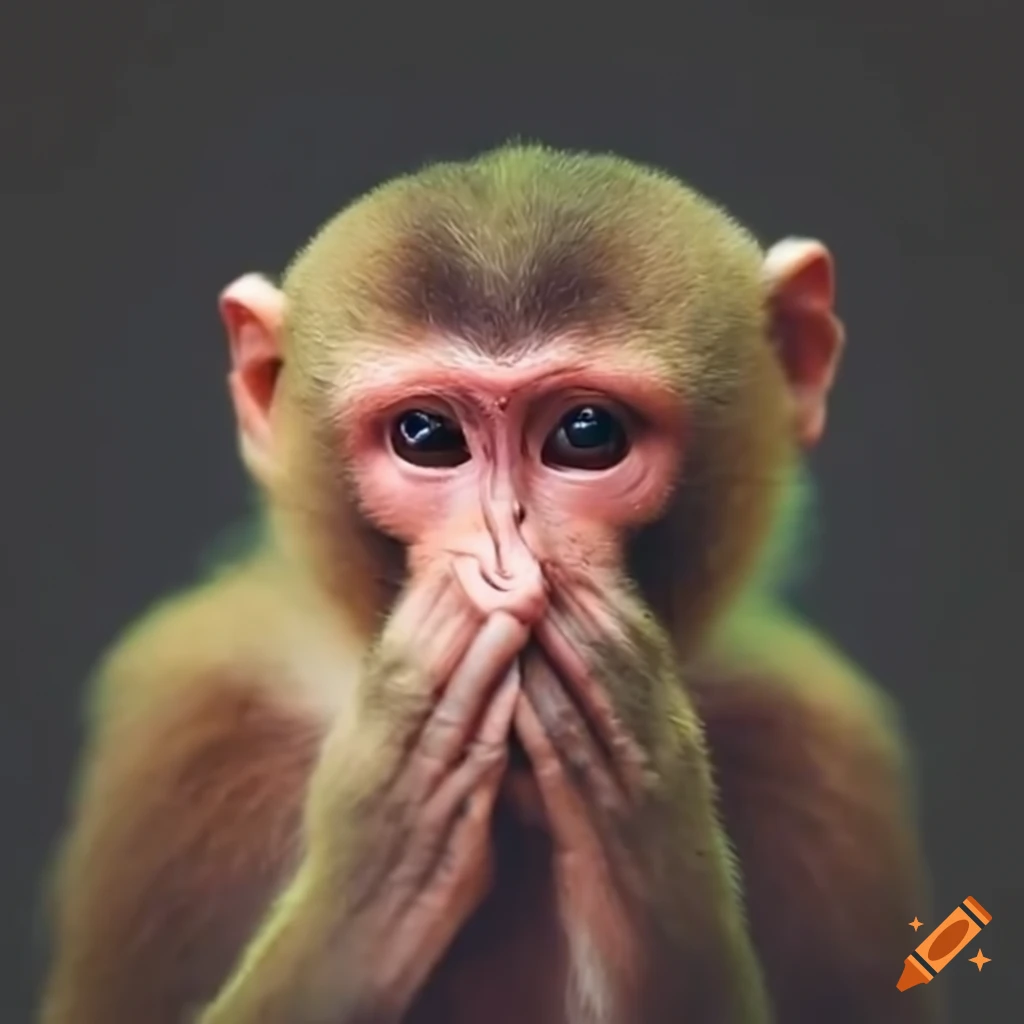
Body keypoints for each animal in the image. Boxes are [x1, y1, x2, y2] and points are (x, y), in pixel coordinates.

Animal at [39, 144, 939, 1024]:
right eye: (427, 435)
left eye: (587, 433)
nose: (512, 564)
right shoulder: (198, 709)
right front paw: (379, 844)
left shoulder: (821, 739)